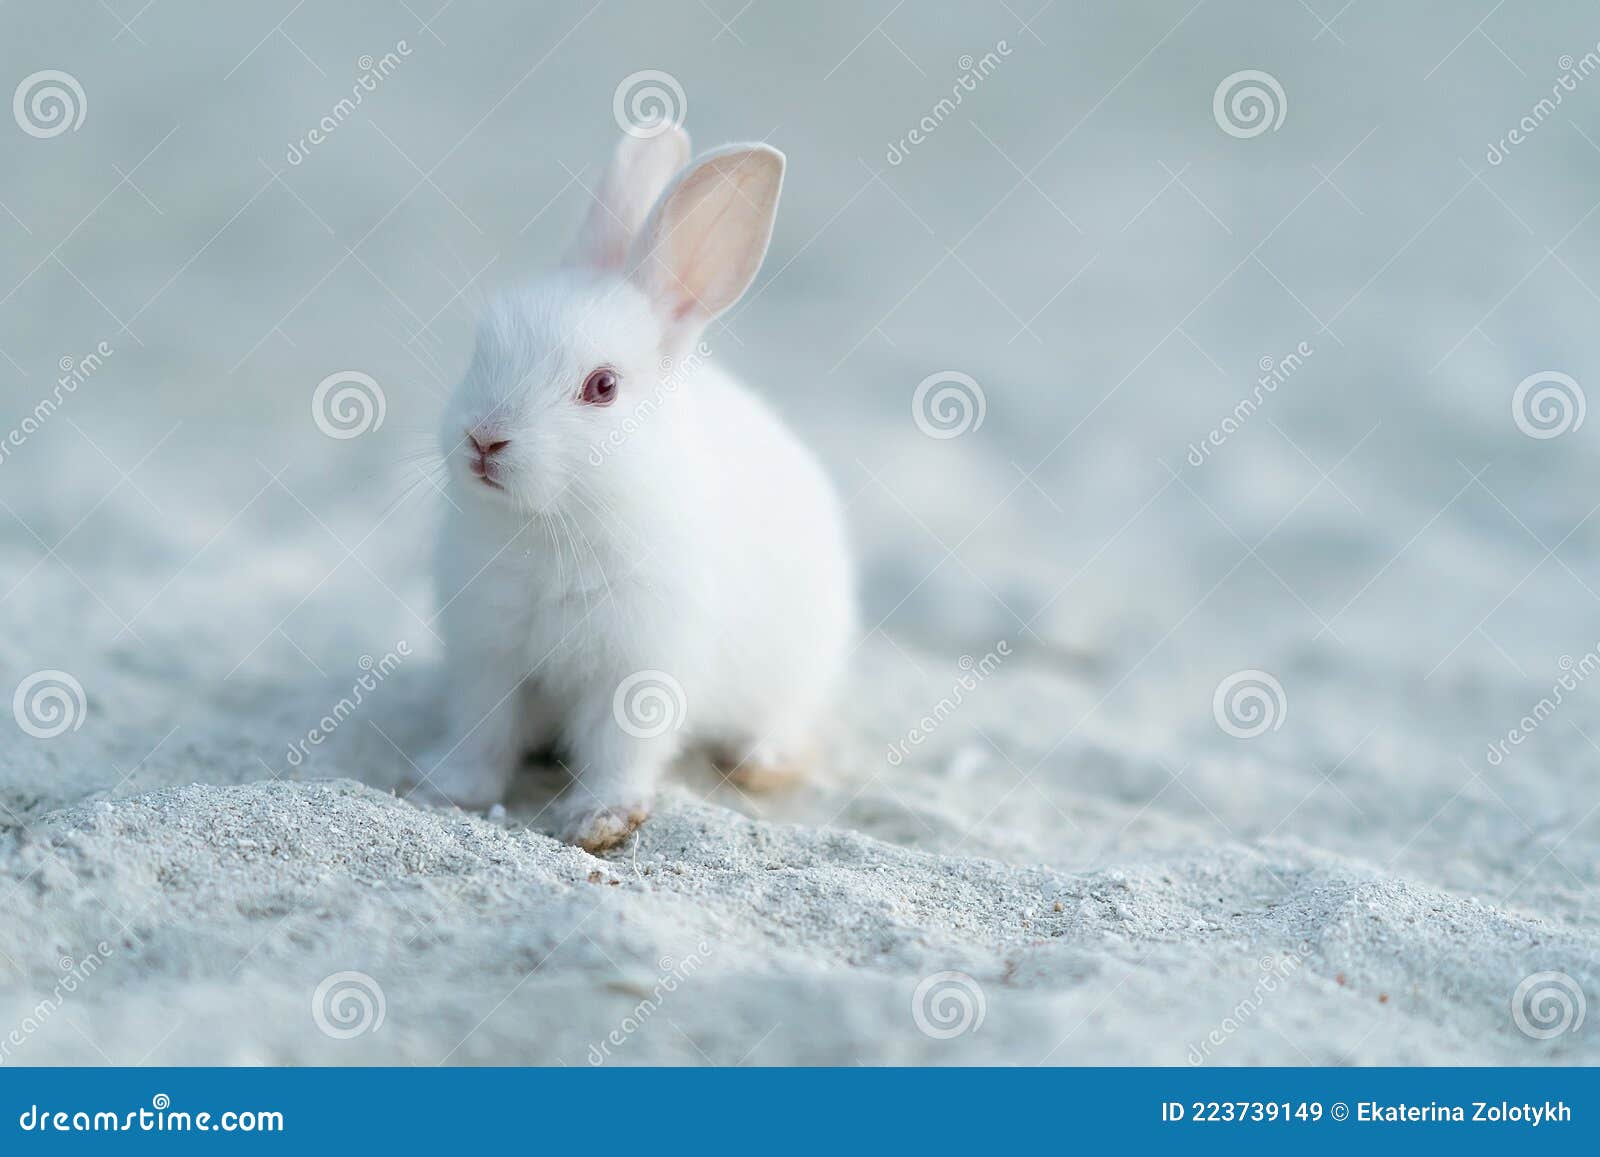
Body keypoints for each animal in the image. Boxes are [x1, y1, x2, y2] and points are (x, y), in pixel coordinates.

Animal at [411, 125, 856, 852]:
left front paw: (599, 821)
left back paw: (764, 765)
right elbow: (482, 734)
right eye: (481, 347)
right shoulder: (489, 659)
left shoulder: (639, 673)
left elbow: (619, 751)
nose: (483, 440)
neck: (553, 524)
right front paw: (446, 791)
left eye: (603, 386)